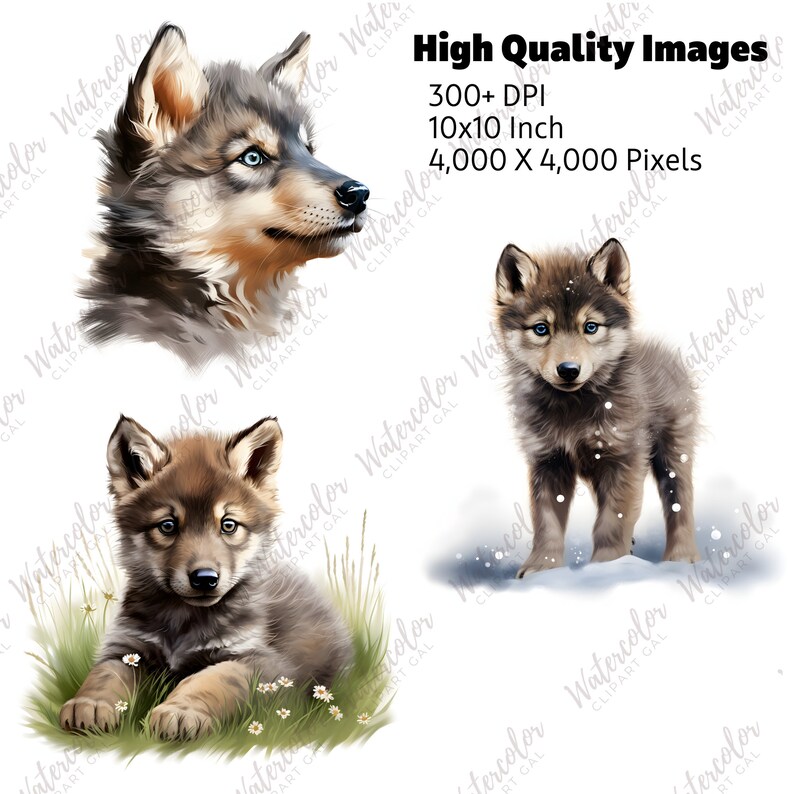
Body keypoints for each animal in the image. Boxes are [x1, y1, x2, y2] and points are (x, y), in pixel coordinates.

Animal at [59, 416, 351, 739]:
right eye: (168, 525)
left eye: (228, 525)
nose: (205, 578)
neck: (181, 622)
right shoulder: (127, 648)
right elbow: (105, 674)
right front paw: (90, 703)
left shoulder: (262, 664)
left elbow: (211, 678)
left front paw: (181, 711)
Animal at [494, 238, 700, 578]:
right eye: (541, 329)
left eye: (590, 327)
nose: (568, 370)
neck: (572, 408)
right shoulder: (548, 461)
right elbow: (546, 522)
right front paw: (542, 568)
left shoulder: (624, 458)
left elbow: (611, 521)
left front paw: (607, 567)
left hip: (672, 456)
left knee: (679, 503)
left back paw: (681, 556)